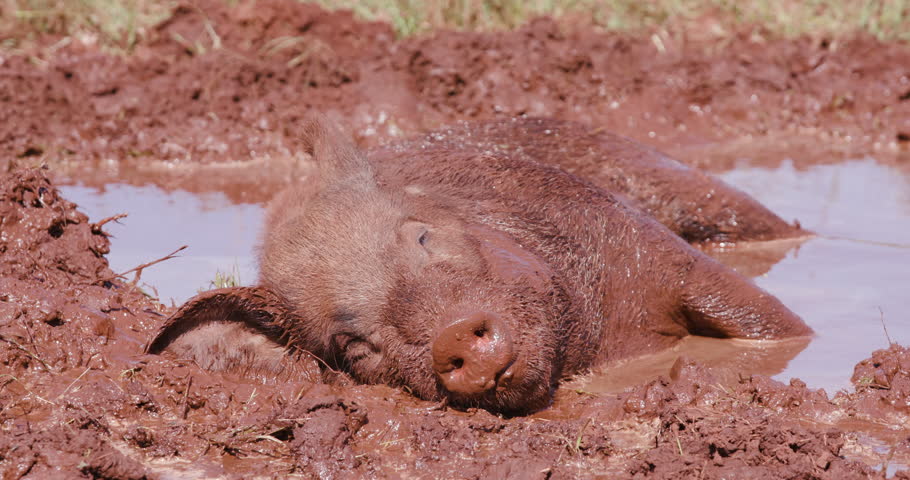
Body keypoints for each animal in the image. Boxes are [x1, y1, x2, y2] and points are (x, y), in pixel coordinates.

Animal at [147, 117, 811, 414]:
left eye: (419, 236)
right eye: (354, 344)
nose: (452, 339)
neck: (604, 343)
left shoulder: (658, 255)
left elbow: (772, 324)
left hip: (687, 189)